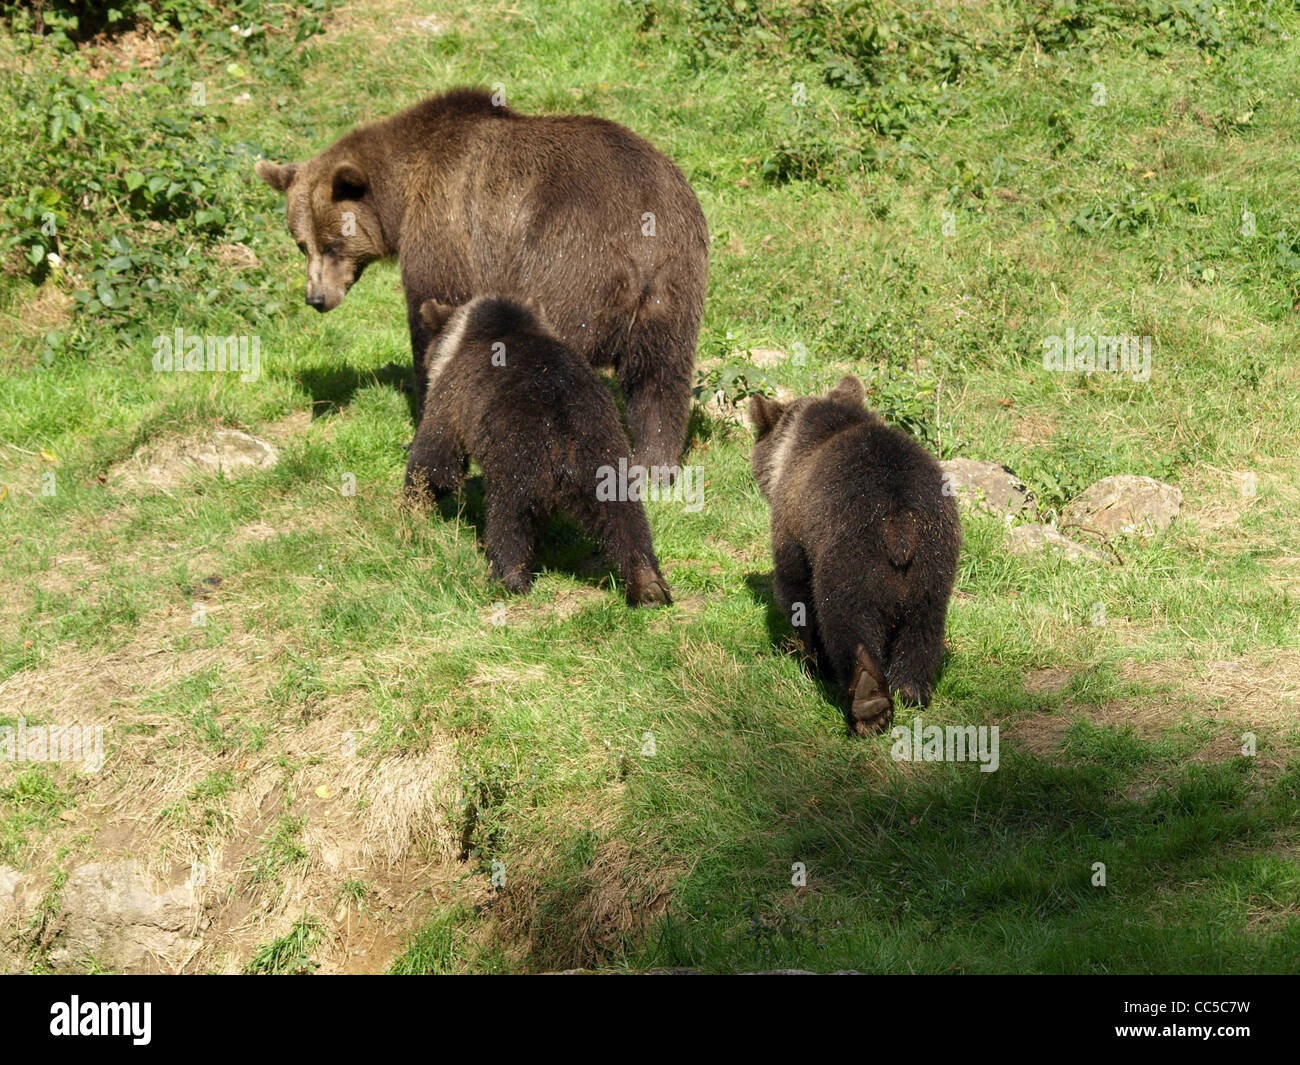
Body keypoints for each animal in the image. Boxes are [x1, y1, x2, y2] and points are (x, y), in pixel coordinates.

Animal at [254, 87, 708, 473]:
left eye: (332, 244)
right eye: (301, 243)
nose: (317, 298)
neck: (400, 196)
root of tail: (643, 236)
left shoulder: (447, 232)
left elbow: (430, 320)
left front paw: (421, 423)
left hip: (566, 260)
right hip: (676, 280)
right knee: (660, 379)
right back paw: (653, 467)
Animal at [405, 294, 672, 608]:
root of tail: (564, 433)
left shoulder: (453, 397)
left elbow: (436, 457)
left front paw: (415, 500)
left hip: (517, 453)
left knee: (509, 519)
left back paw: (509, 579)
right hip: (604, 449)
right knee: (625, 515)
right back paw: (649, 585)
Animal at [749, 376, 960, 735]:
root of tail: (899, 525)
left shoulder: (794, 527)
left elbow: (796, 591)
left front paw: (813, 663)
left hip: (851, 556)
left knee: (847, 623)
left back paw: (868, 702)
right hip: (933, 559)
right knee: (923, 628)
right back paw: (911, 690)